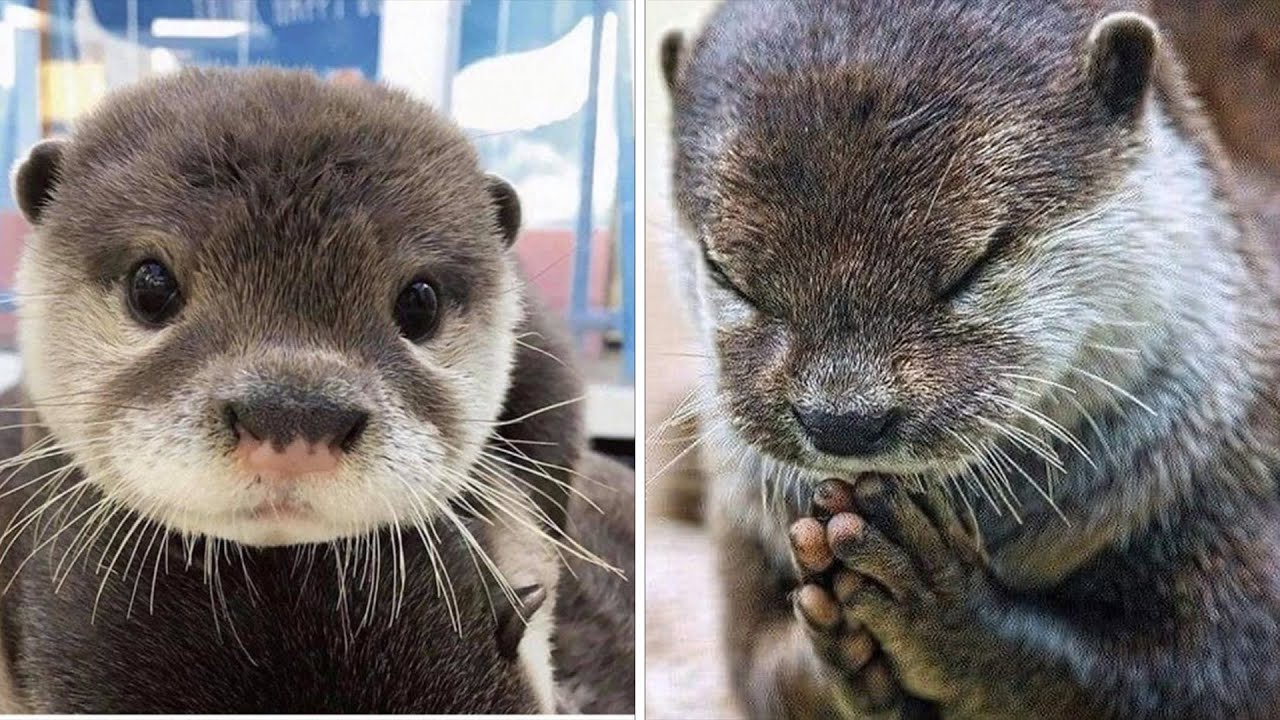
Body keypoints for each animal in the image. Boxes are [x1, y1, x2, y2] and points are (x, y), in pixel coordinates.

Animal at [661, 1, 1280, 718]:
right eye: (726, 274)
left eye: (972, 266)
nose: (843, 420)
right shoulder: (740, 525)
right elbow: (759, 665)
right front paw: (842, 648)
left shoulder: (1232, 482)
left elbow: (1200, 676)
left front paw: (938, 606)